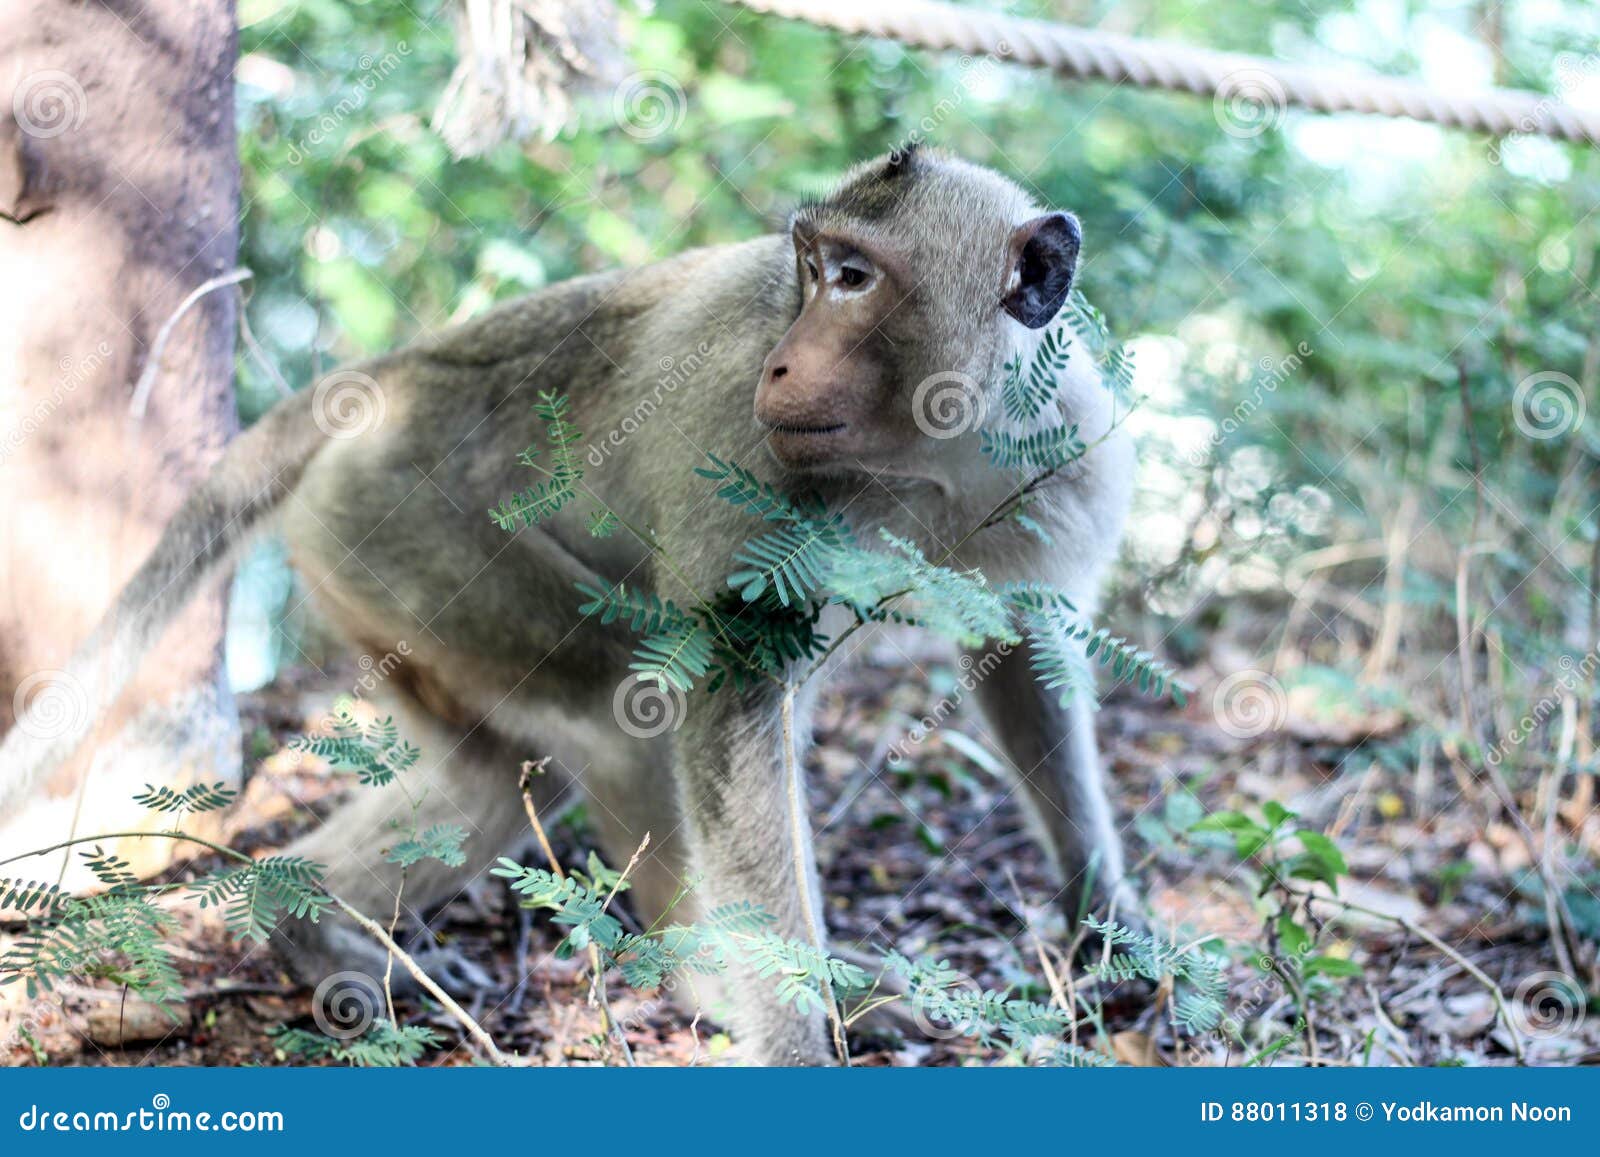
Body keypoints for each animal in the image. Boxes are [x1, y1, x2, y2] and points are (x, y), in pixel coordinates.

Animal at [0, 147, 1135, 1065]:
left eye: (855, 278)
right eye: (812, 269)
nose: (781, 358)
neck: (941, 451)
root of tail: (389, 375)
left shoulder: (1069, 452)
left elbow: (1027, 654)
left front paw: (1108, 920)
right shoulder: (754, 464)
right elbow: (725, 700)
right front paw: (794, 1040)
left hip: (371, 566)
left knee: (501, 772)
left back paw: (307, 920)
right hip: (393, 518)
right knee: (618, 708)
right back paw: (697, 973)